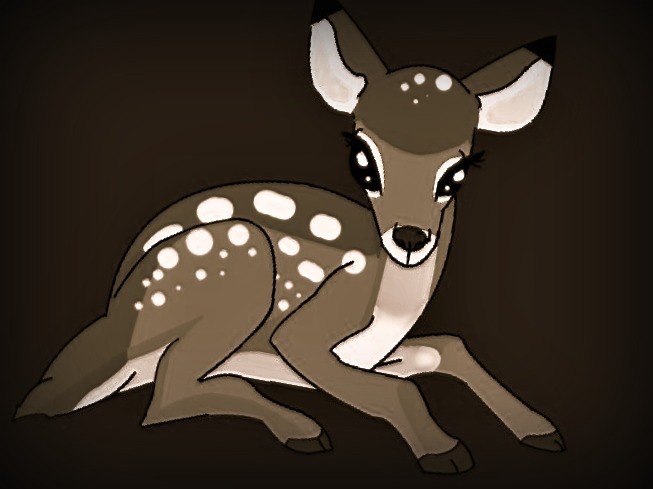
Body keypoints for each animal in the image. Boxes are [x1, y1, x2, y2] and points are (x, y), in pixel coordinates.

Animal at [15, 0, 564, 474]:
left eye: (457, 172)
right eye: (362, 158)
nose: (410, 238)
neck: (391, 298)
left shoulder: (377, 353)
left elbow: (448, 348)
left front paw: (541, 429)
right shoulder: (304, 331)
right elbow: (399, 388)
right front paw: (443, 451)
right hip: (238, 258)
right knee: (164, 397)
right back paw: (302, 429)